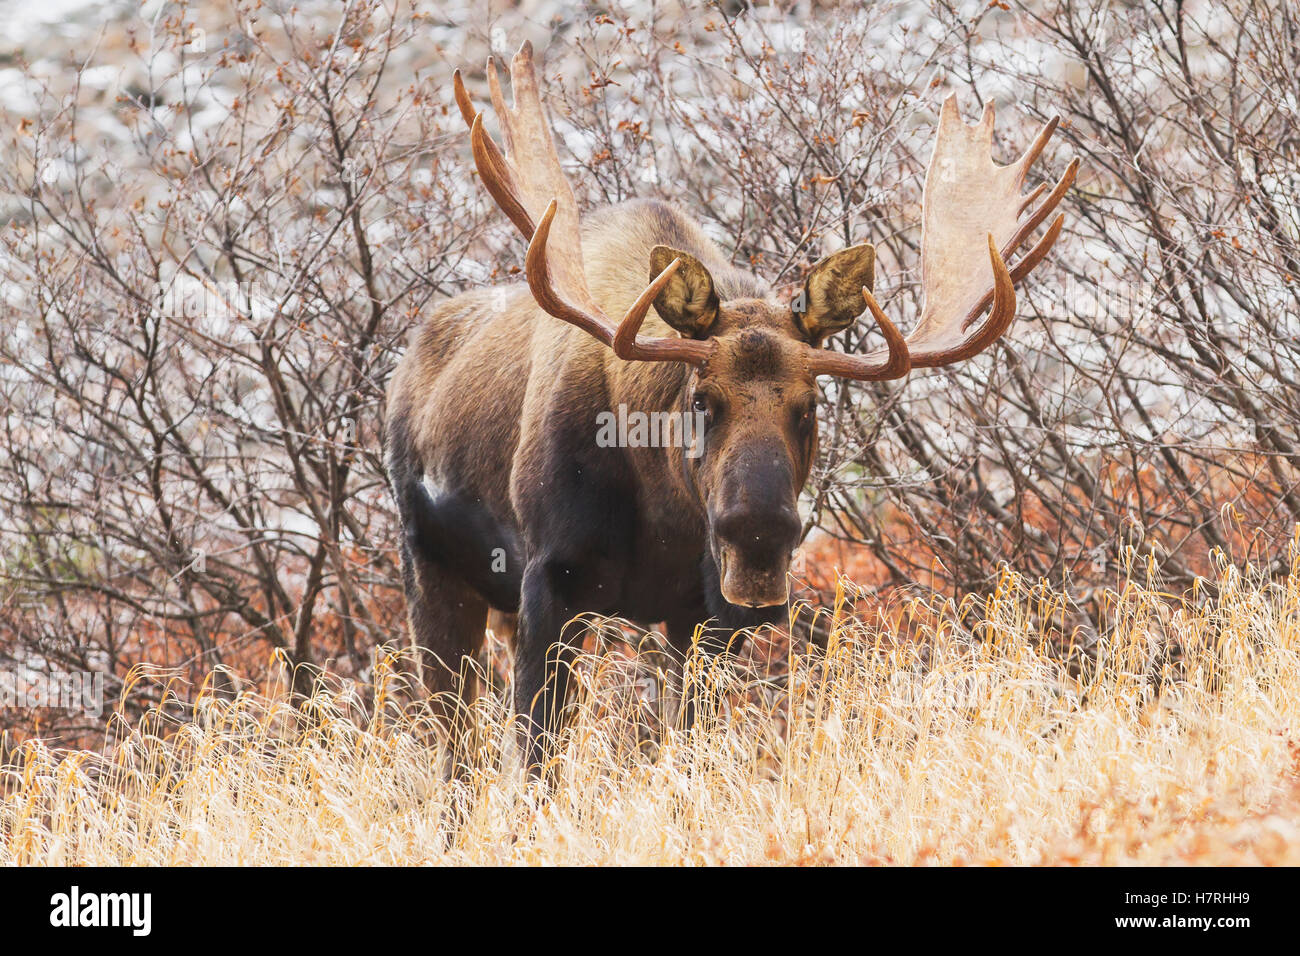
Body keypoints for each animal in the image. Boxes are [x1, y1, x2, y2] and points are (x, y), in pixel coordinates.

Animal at [384, 41, 1076, 773]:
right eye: (701, 401)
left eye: (810, 406)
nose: (759, 539)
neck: (663, 516)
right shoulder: (550, 579)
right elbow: (534, 757)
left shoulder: (706, 614)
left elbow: (689, 744)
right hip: (430, 570)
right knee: (451, 749)